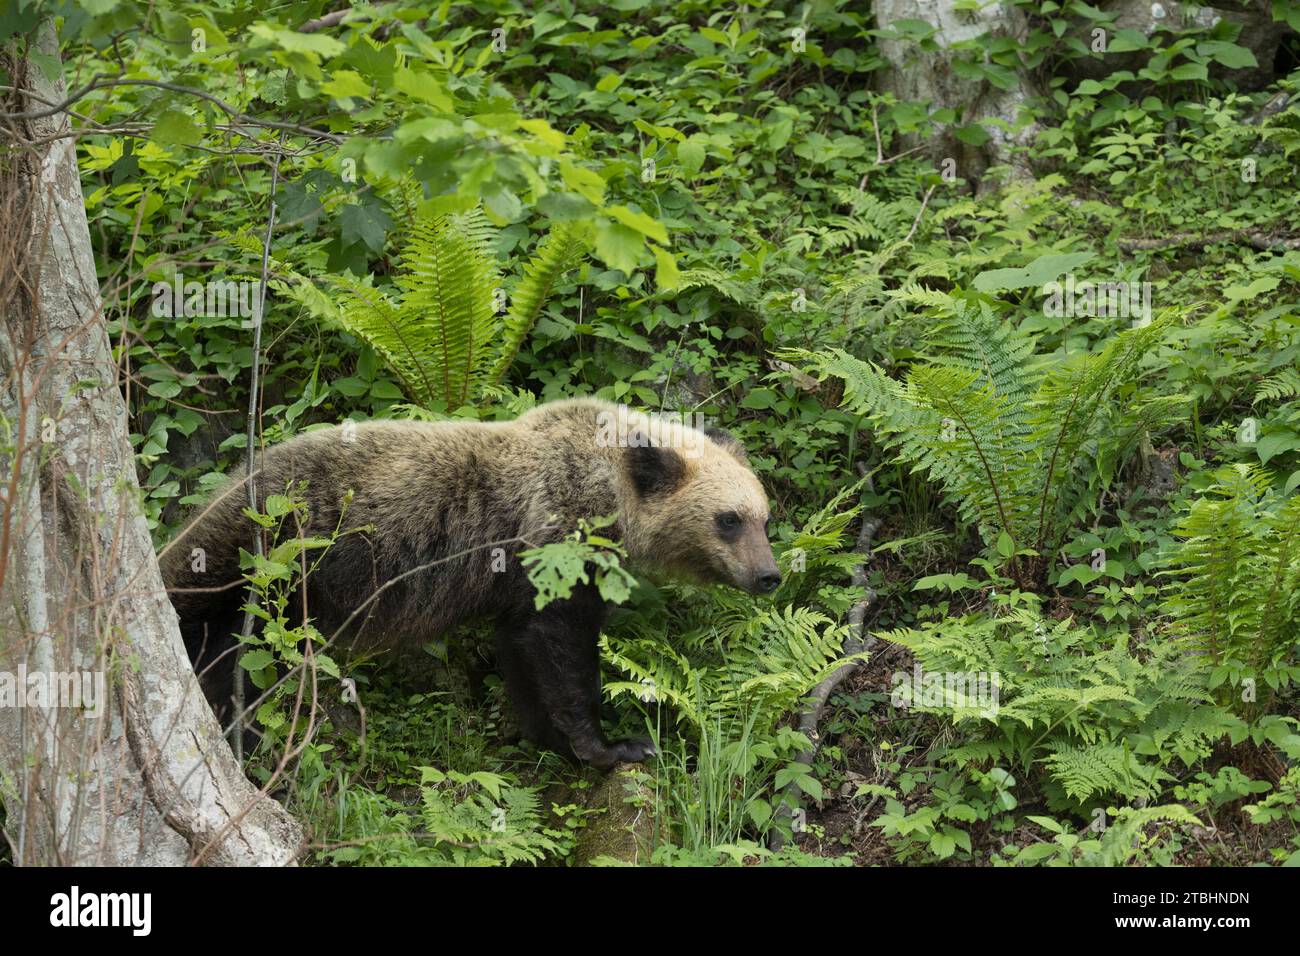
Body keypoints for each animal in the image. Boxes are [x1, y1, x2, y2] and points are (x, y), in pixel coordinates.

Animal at [161, 397, 780, 769]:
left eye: (764, 517)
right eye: (728, 519)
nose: (769, 575)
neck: (608, 495)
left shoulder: (520, 588)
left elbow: (525, 650)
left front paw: (550, 737)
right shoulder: (552, 544)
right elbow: (561, 649)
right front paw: (617, 744)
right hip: (265, 550)